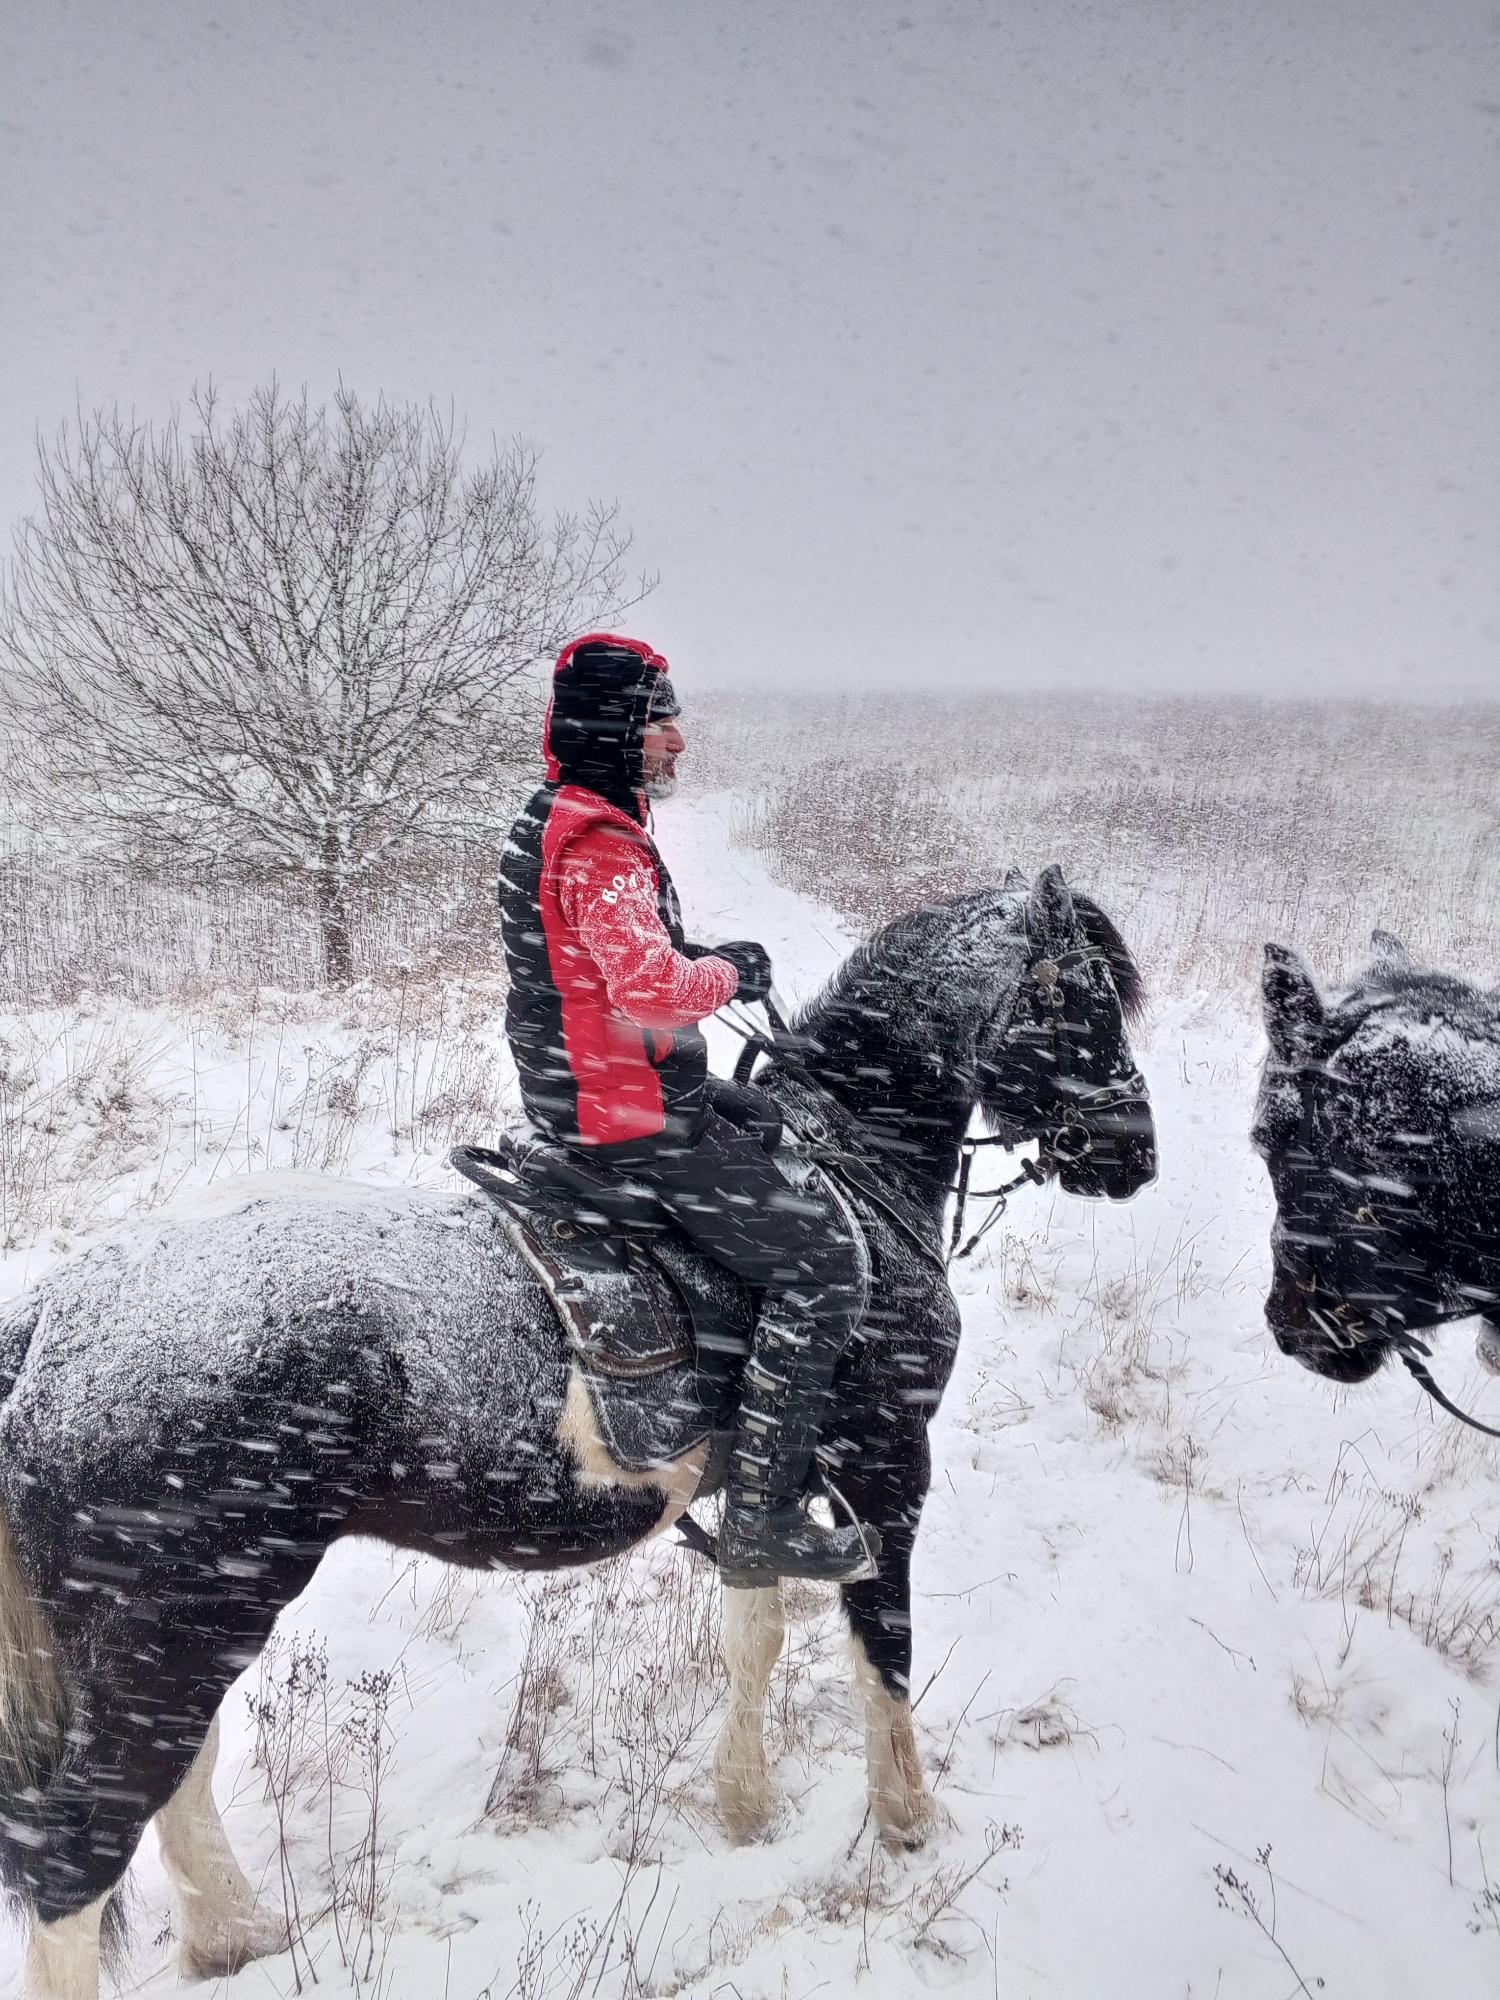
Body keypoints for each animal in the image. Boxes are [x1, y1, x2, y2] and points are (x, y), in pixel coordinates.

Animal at [0, 868, 1160, 1992]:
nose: (1133, 1155)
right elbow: (884, 1645)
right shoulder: (885, 1469)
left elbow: (755, 1626)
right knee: (82, 1846)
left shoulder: (769, 1485)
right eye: (1087, 1000)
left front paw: (743, 1805)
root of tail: (51, 1316)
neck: (849, 1170)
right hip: (183, 1616)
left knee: (175, 1774)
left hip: (145, 1629)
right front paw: (909, 1820)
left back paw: (234, 1936)